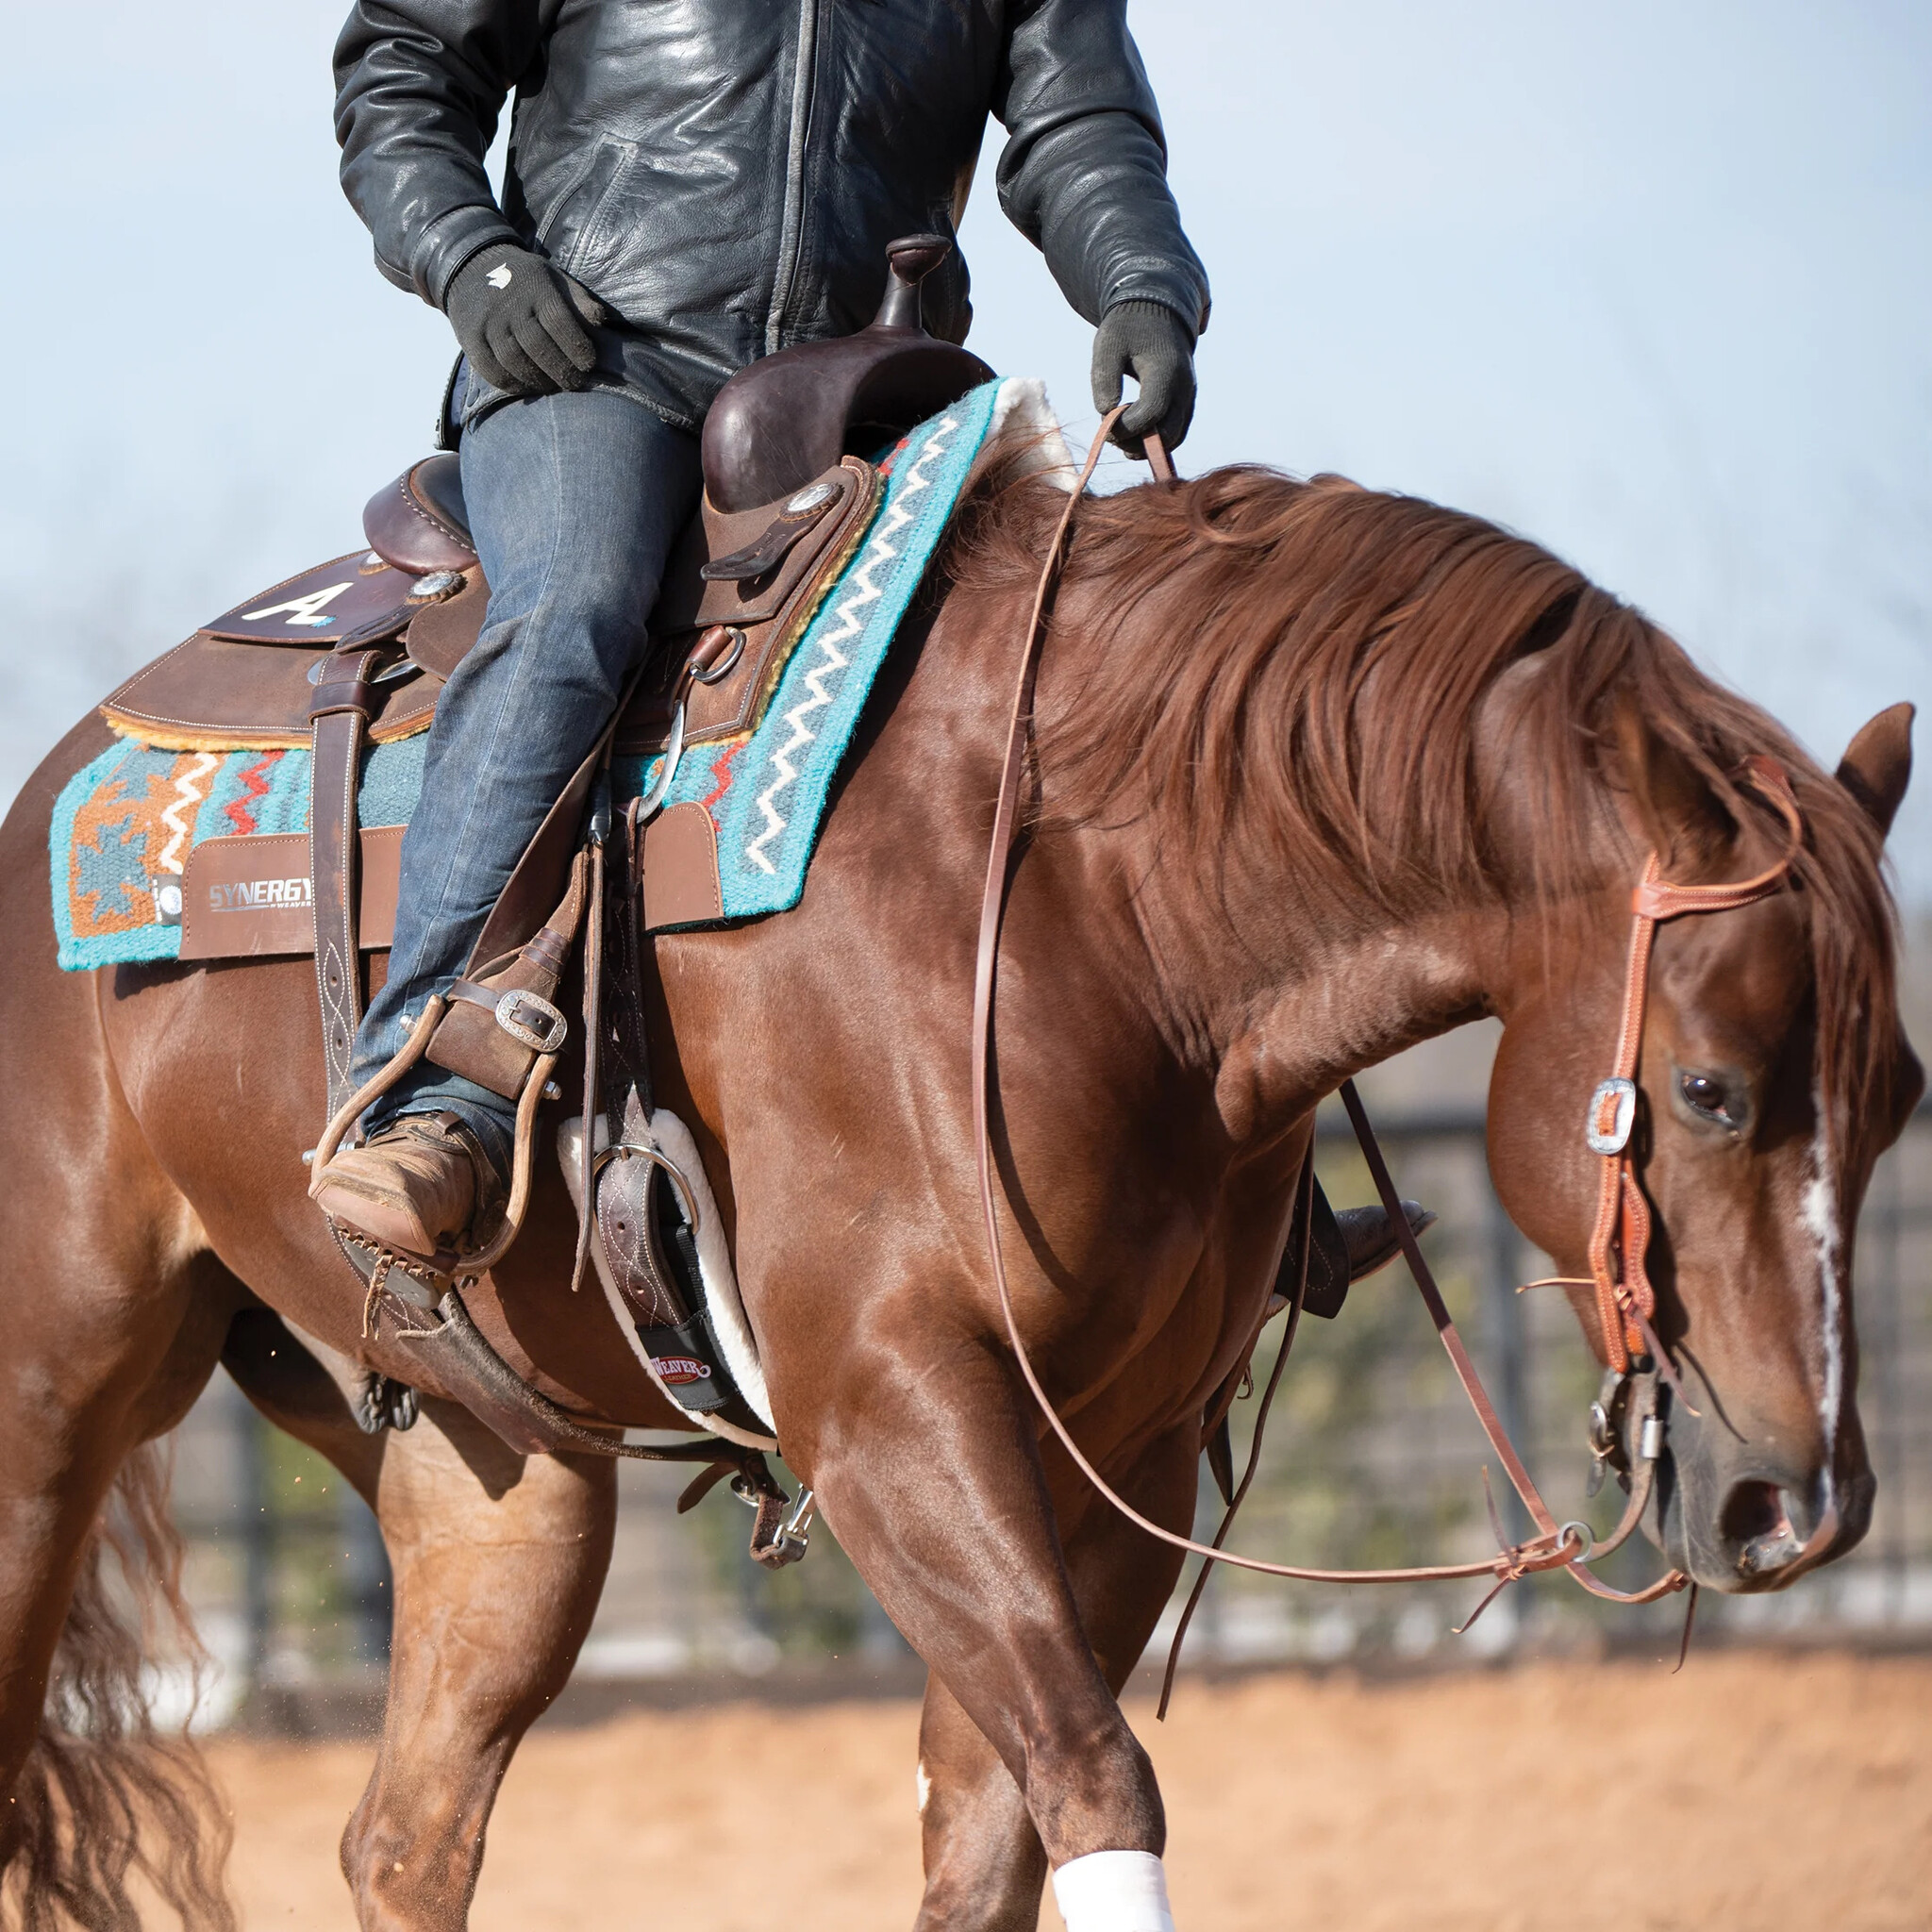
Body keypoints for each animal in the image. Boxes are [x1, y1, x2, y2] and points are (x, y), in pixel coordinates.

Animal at [0, 441, 1917, 1931]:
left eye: (1895, 1094)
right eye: (1710, 1086)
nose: (1798, 1508)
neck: (1088, 903)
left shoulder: (1125, 1448)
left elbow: (994, 1832)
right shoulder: (889, 1412)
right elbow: (1093, 1781)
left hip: (496, 1476)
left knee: (406, 1838)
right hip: (49, 1416)